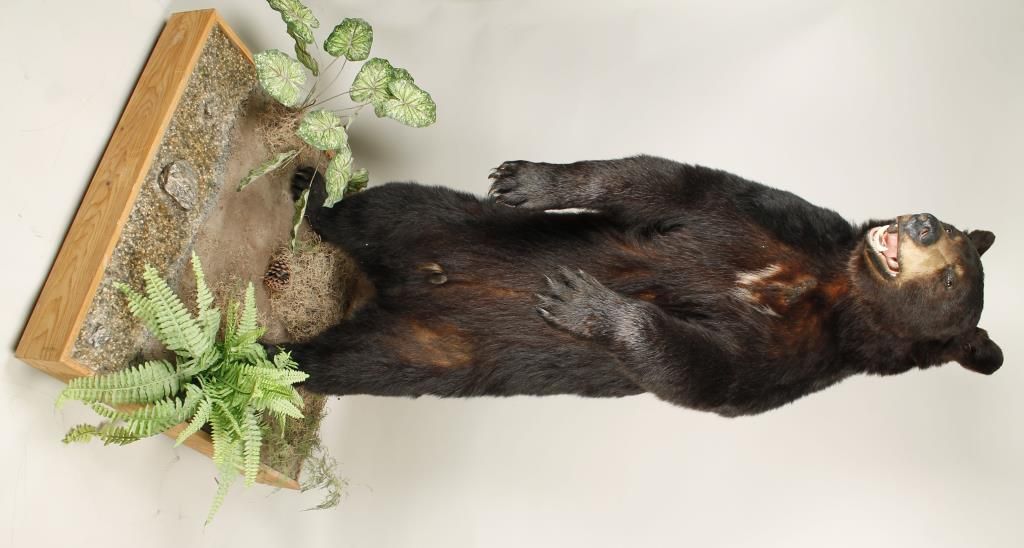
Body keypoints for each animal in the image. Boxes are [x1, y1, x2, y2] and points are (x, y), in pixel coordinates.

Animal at [279, 155, 1003, 417]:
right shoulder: (770, 216)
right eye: (951, 231)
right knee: (376, 211)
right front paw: (529, 180)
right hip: (438, 223)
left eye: (954, 275)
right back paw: (310, 190)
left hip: (424, 352)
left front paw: (583, 302)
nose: (922, 222)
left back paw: (265, 358)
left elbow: (704, 371)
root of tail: (397, 287)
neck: (821, 285)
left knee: (342, 362)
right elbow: (666, 184)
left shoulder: (802, 360)